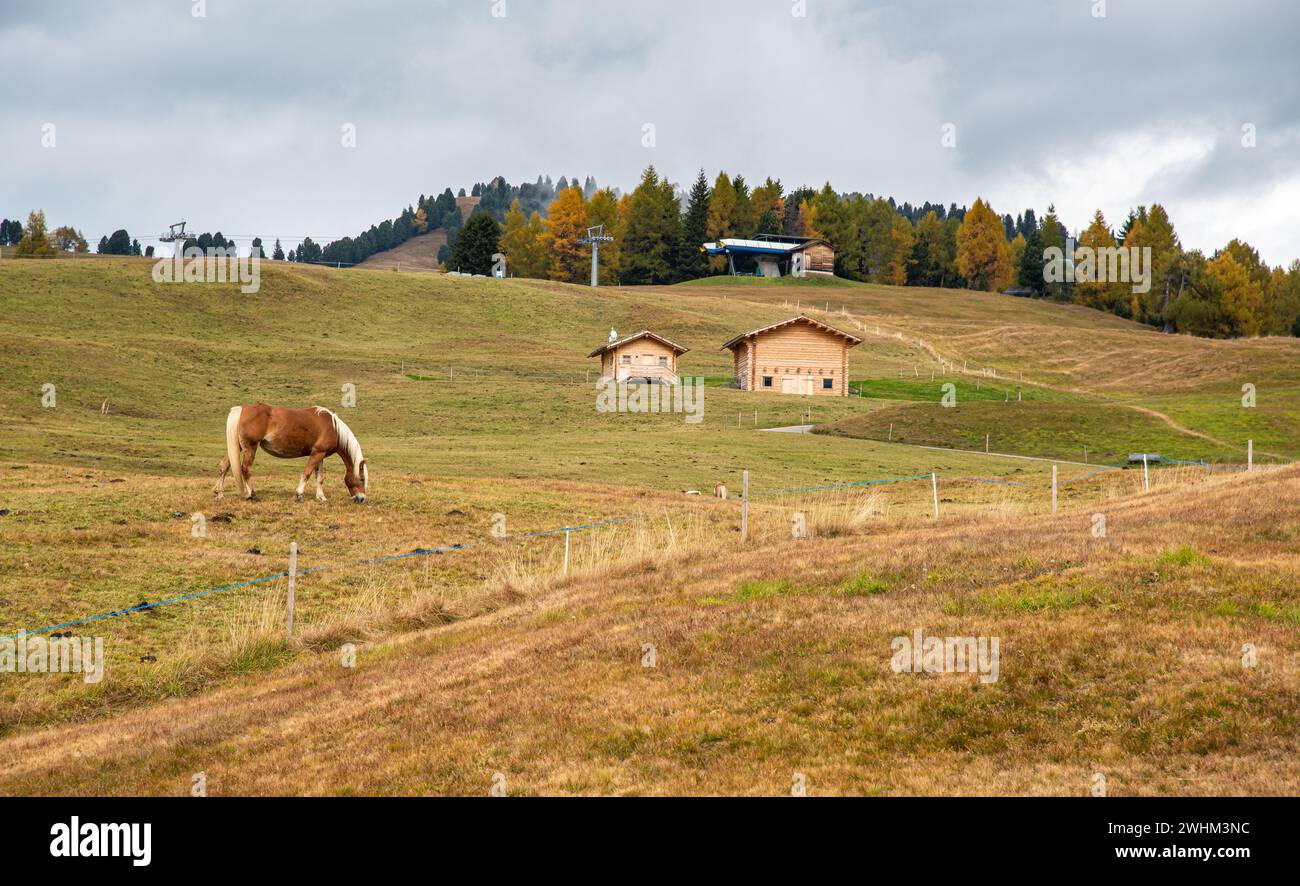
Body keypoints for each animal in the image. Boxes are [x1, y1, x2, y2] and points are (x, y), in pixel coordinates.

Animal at [215, 404, 369, 503]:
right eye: (362, 479)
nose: (361, 499)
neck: (333, 427)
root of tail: (241, 409)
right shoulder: (316, 454)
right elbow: (307, 473)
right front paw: (299, 495)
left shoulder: (320, 454)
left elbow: (320, 477)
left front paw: (321, 497)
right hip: (250, 447)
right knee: (245, 469)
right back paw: (252, 496)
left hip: (237, 447)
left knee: (224, 466)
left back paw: (219, 494)